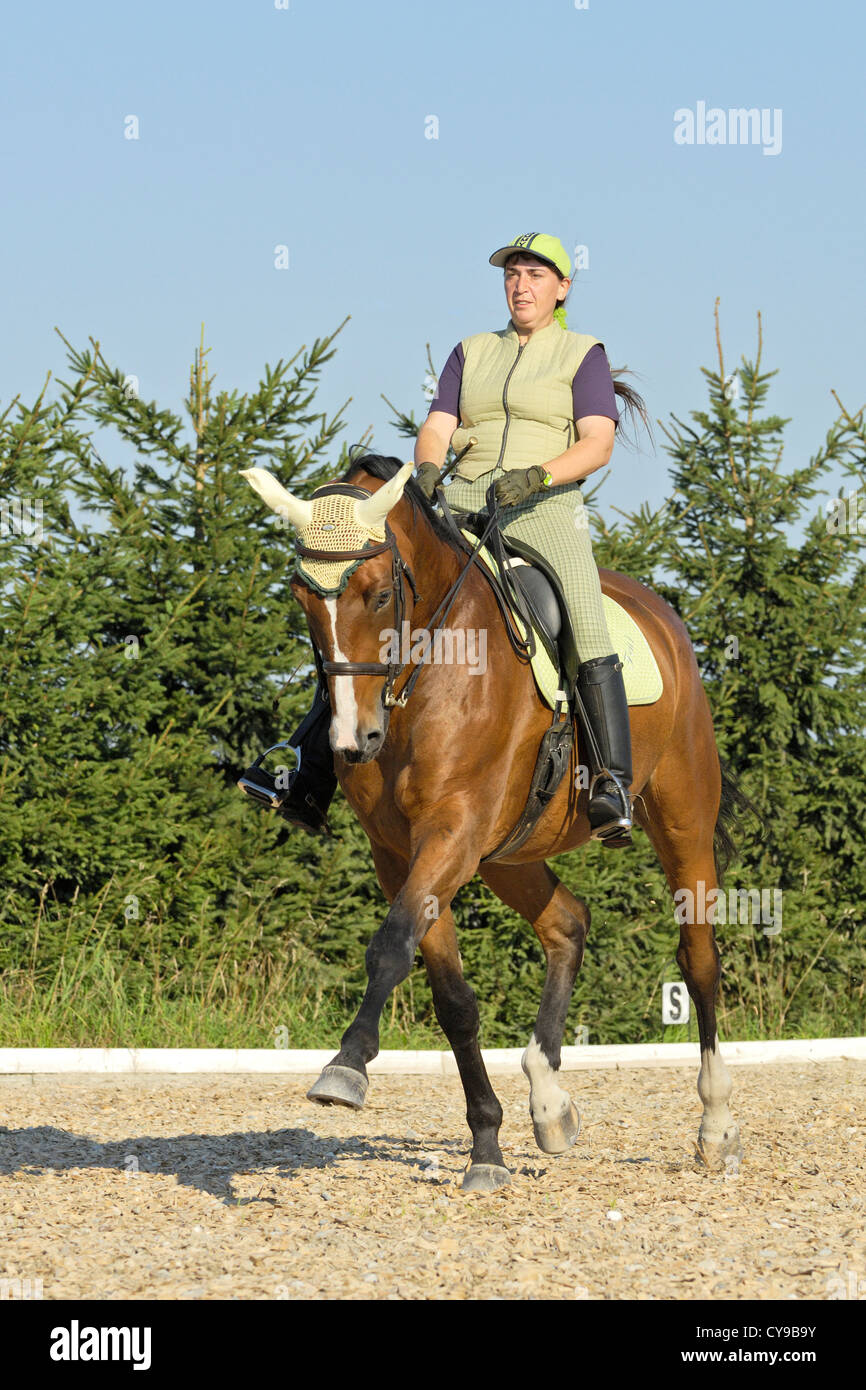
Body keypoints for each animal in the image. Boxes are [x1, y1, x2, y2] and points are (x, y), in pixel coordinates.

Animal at [240, 451, 745, 1193]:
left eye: (379, 595)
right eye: (303, 600)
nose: (352, 742)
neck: (425, 673)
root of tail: (659, 614)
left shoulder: (453, 830)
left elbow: (390, 947)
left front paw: (346, 1067)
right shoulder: (403, 853)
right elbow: (451, 996)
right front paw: (486, 1147)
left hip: (680, 818)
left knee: (699, 958)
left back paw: (714, 1127)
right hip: (508, 851)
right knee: (567, 922)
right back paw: (550, 1103)